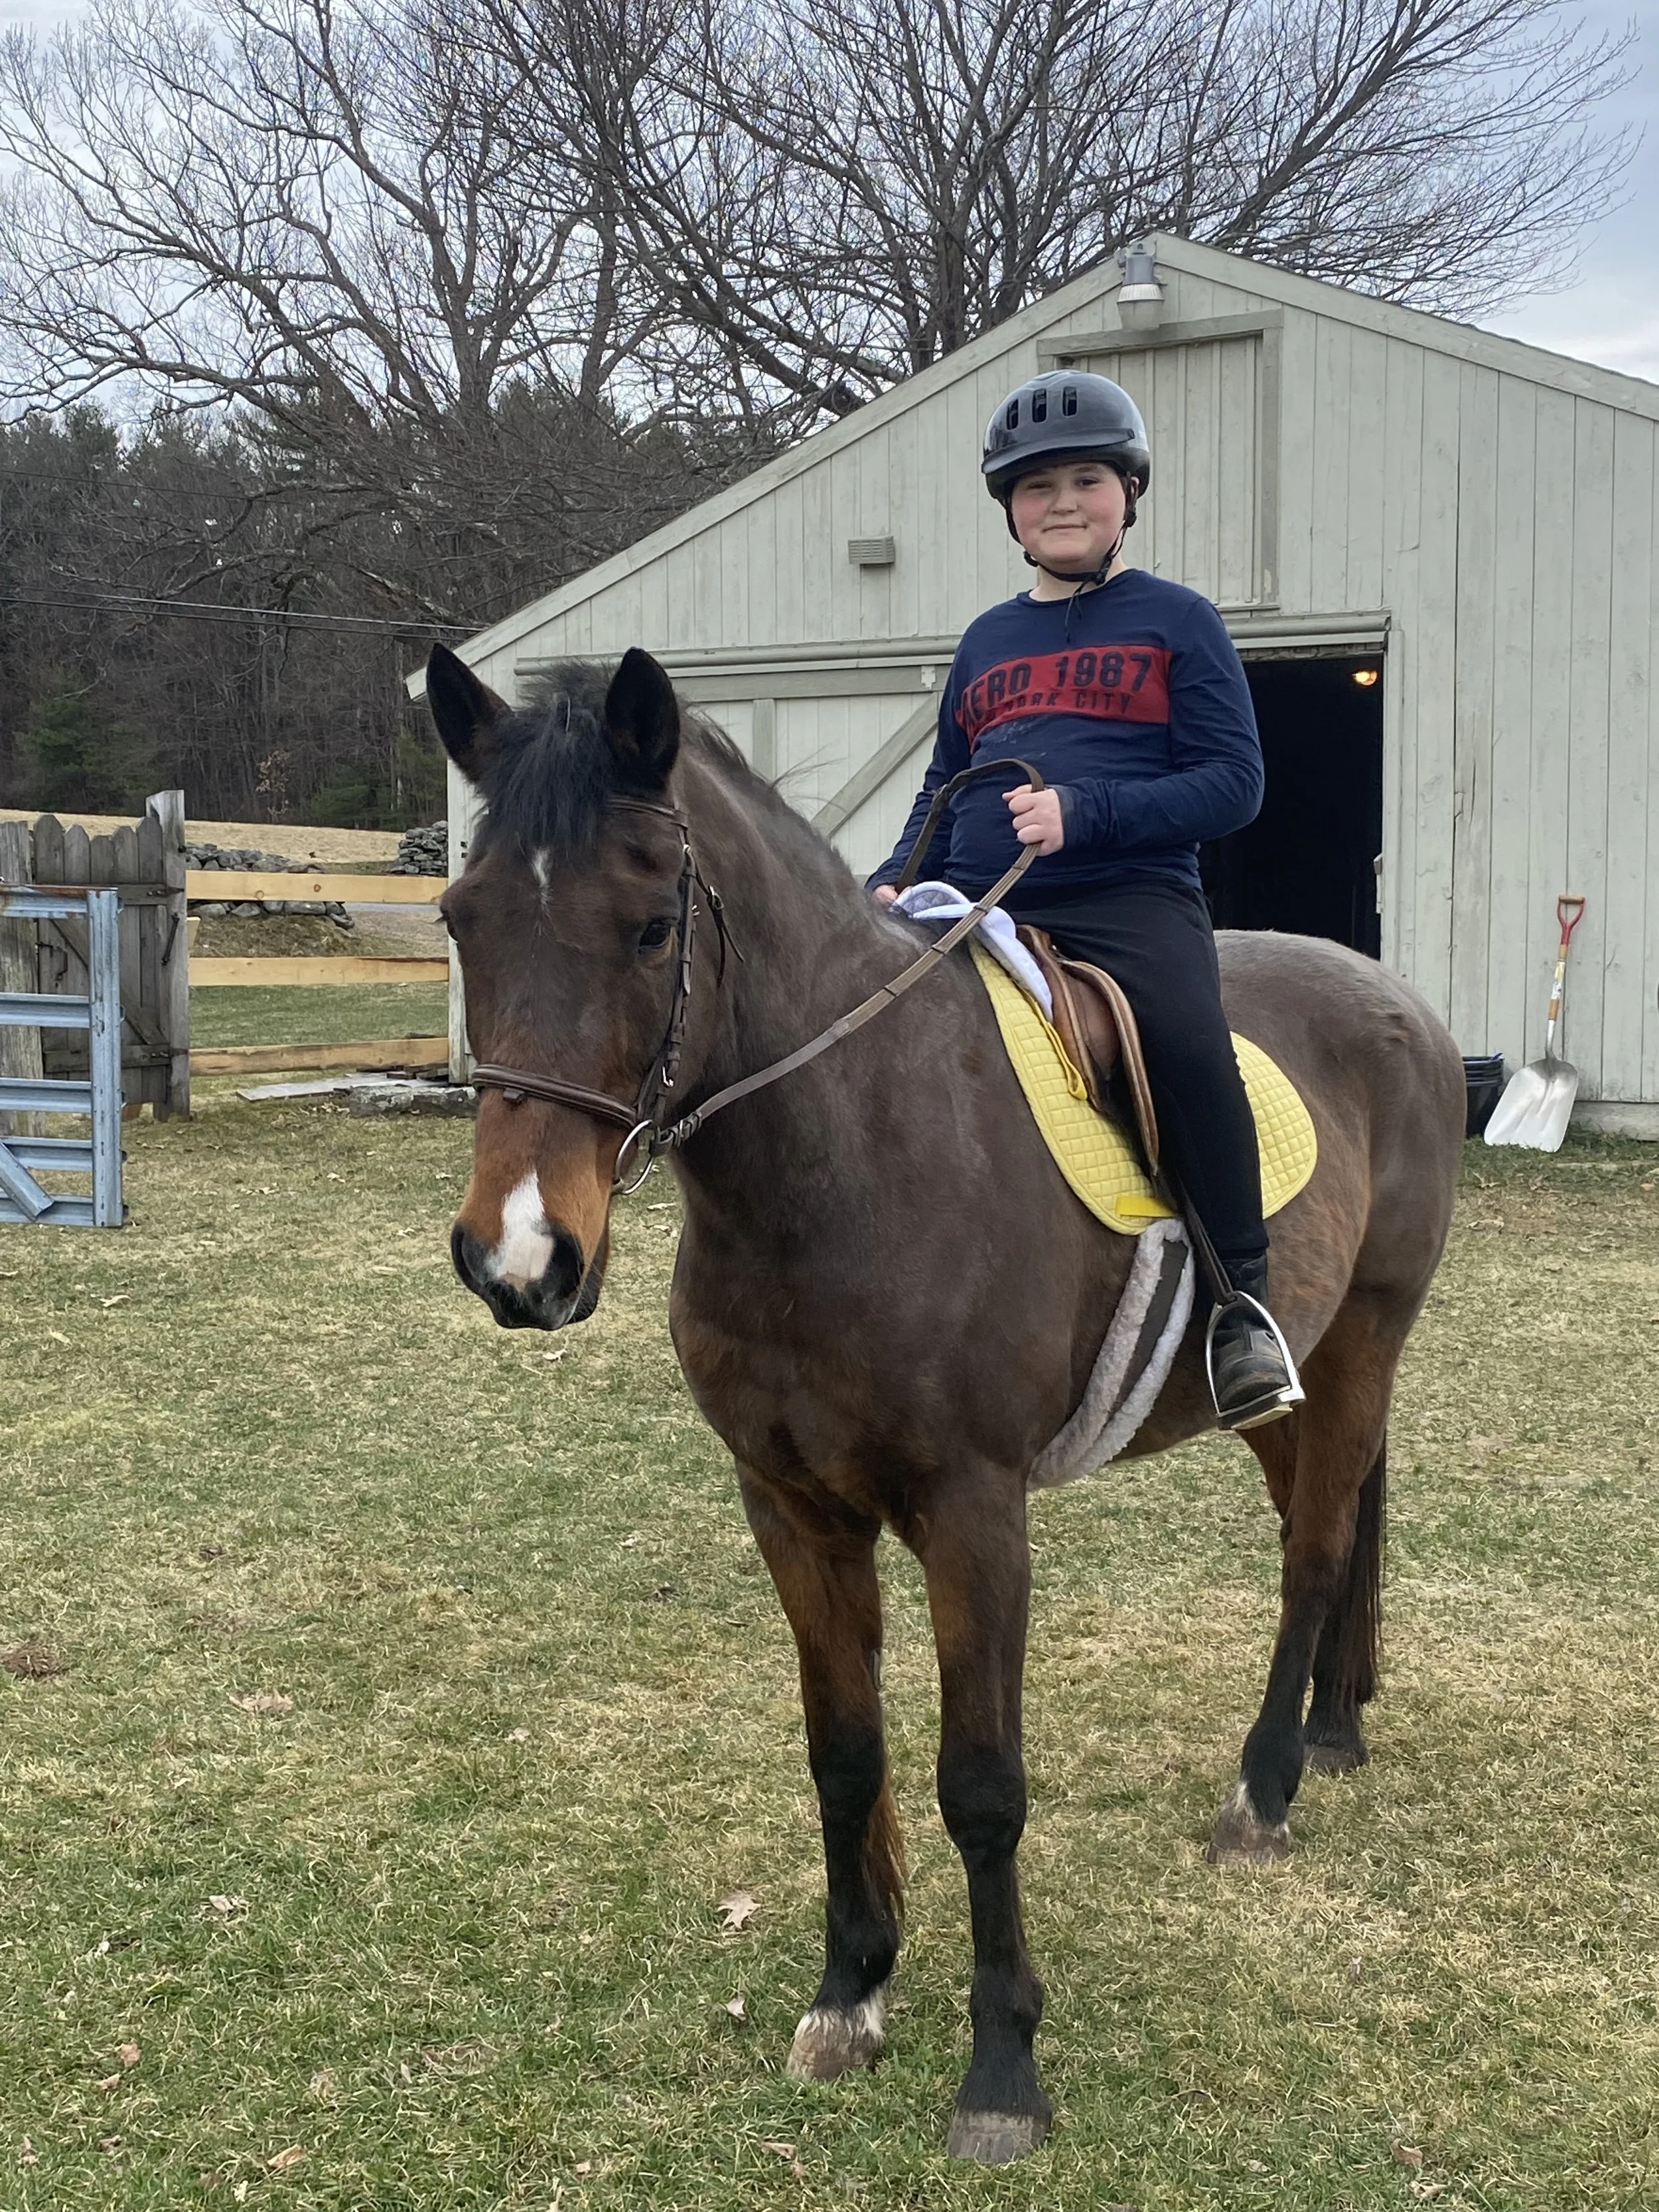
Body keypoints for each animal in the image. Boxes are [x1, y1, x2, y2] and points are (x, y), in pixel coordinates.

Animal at [425, 640, 1466, 2164]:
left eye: (650, 925)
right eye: (461, 919)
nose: (519, 1258)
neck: (849, 1153)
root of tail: (1398, 1000)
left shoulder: (976, 1514)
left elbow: (980, 1784)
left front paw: (1001, 2068)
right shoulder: (792, 1508)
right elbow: (843, 1751)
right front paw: (850, 1991)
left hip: (1359, 1347)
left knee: (1317, 1553)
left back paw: (1266, 1782)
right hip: (1300, 1379)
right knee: (1326, 1533)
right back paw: (1335, 1730)